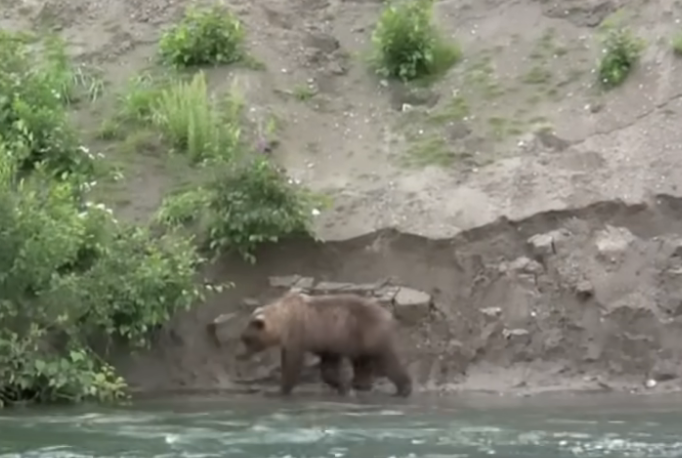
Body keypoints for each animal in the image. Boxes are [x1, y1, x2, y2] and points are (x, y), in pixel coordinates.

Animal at [237, 290, 412, 397]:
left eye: (247, 339)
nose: (240, 355)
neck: (282, 322)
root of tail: (389, 314)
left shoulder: (299, 334)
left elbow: (293, 364)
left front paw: (281, 390)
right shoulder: (327, 341)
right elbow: (327, 367)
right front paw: (341, 386)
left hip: (370, 333)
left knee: (387, 360)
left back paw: (404, 388)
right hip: (359, 343)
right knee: (362, 363)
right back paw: (361, 384)